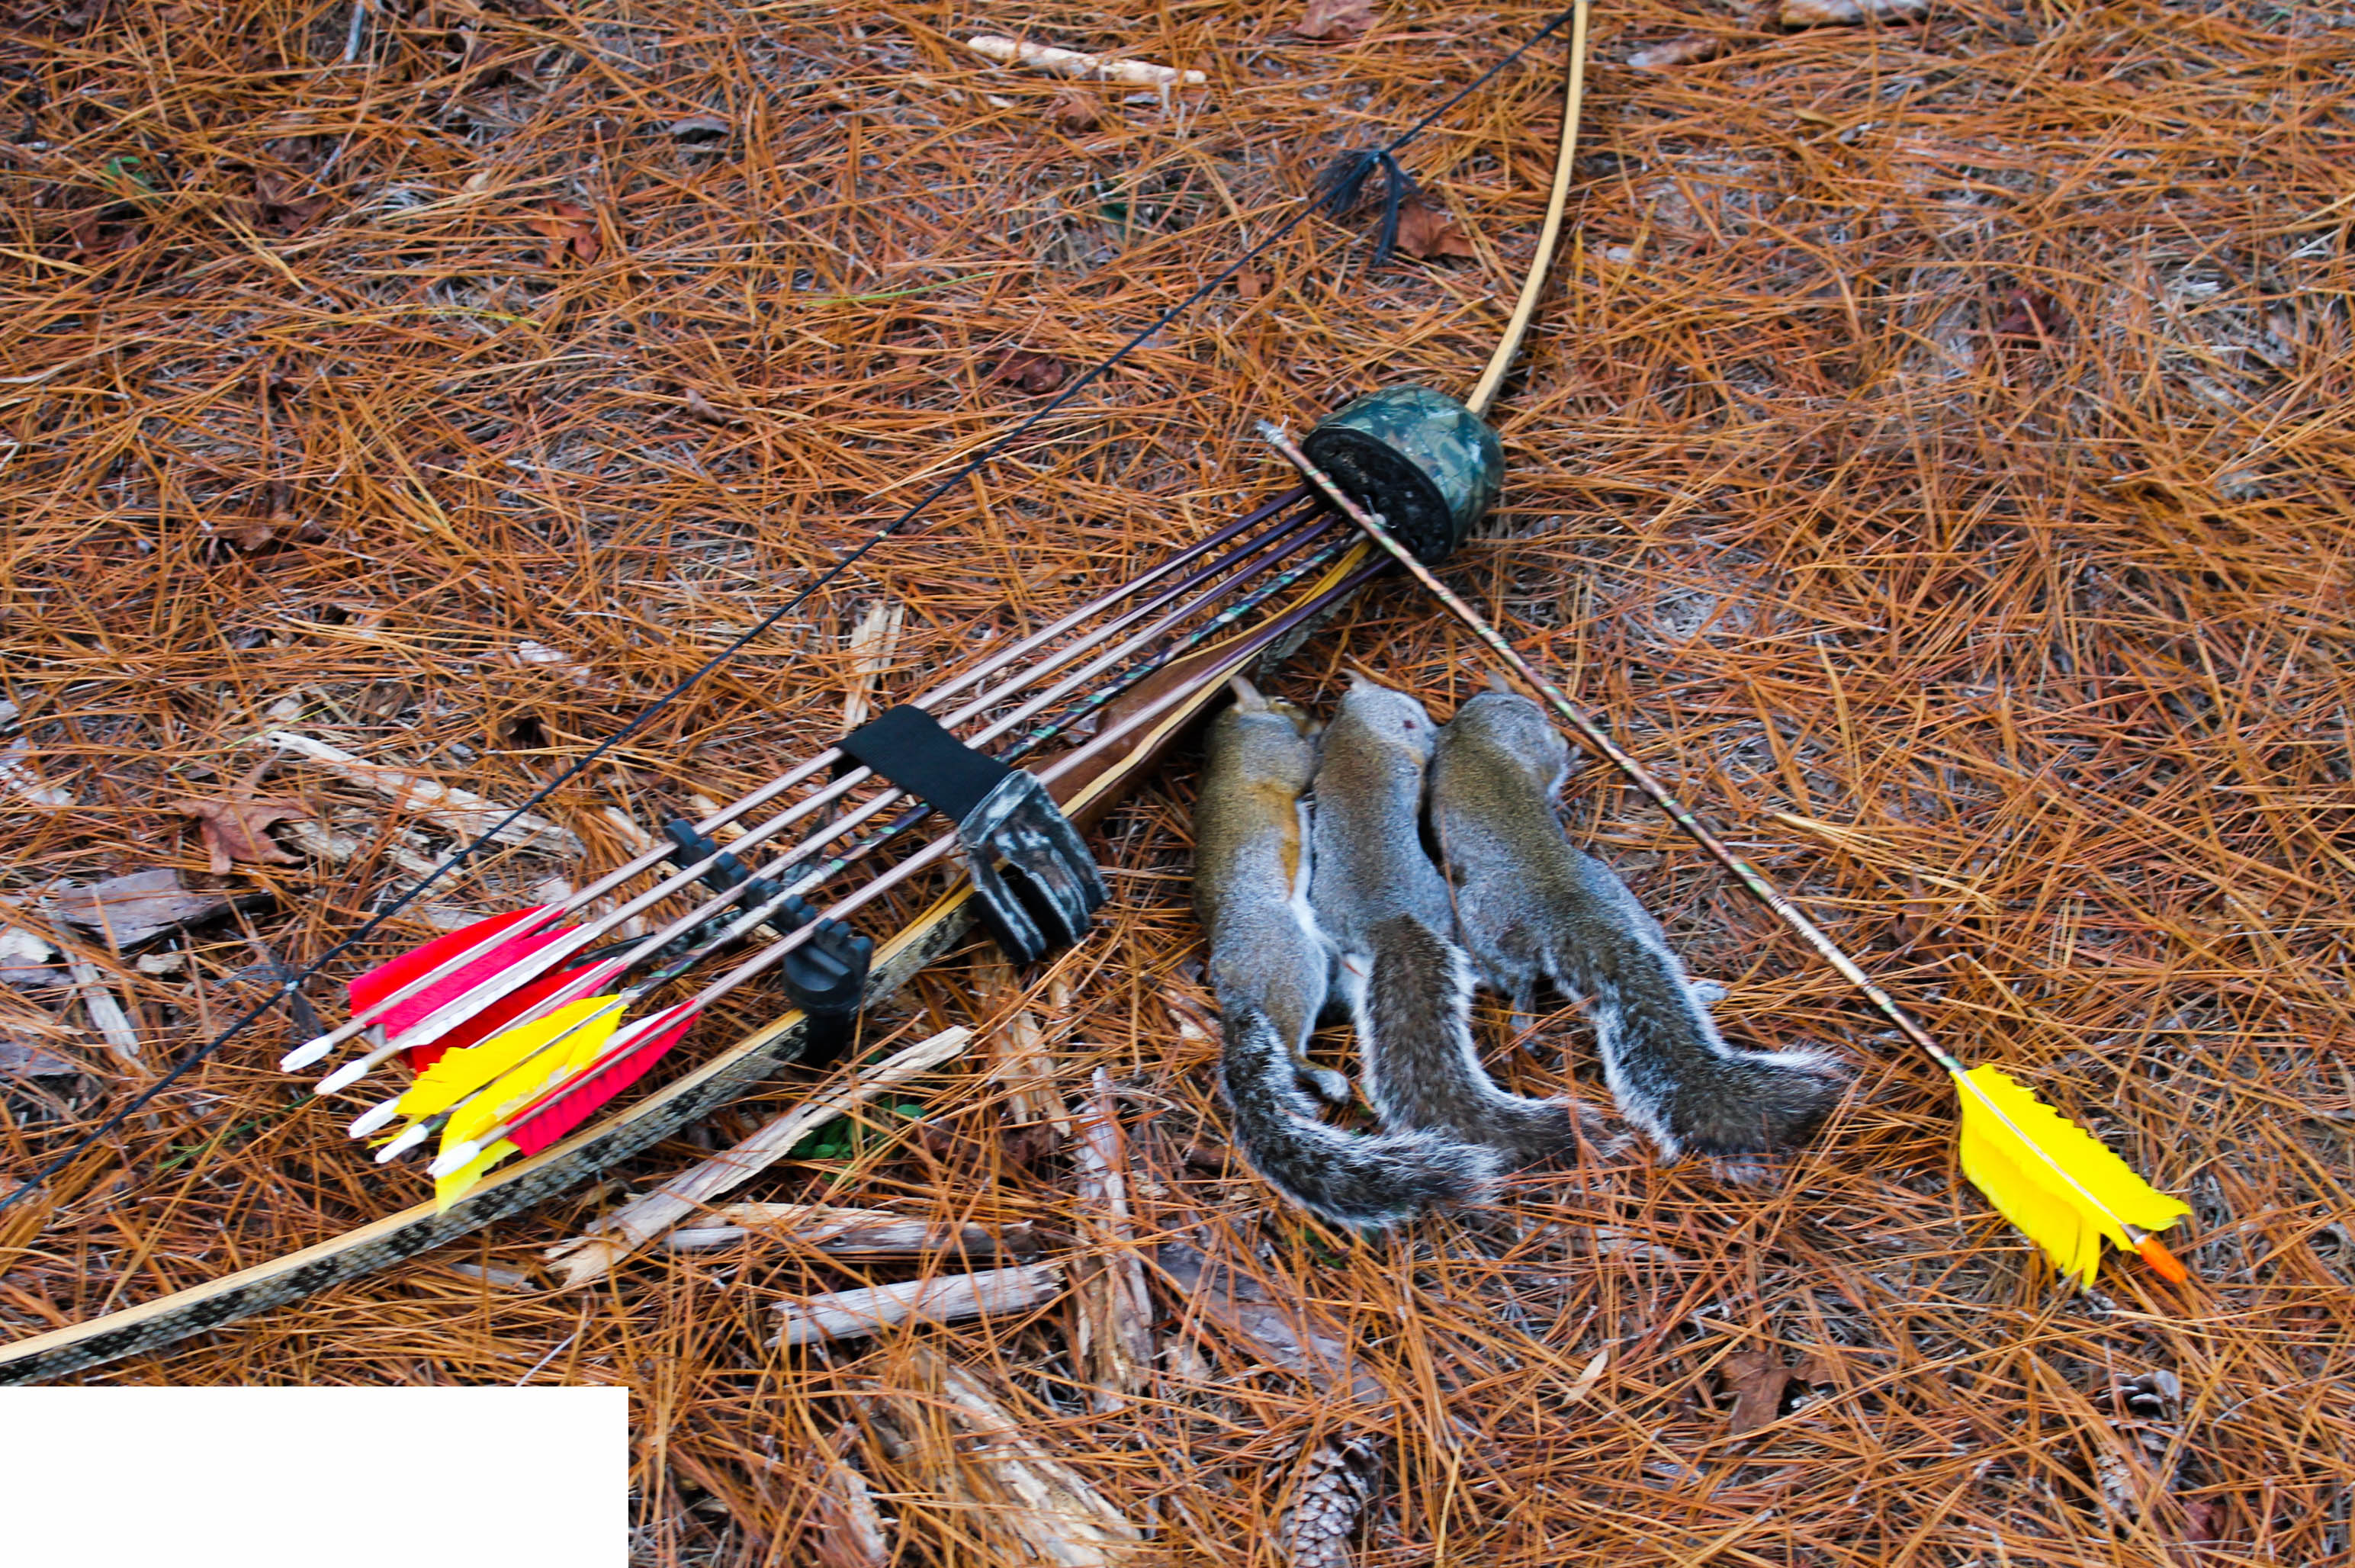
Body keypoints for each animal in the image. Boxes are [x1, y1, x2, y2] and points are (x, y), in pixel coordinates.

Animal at [1192, 678, 1498, 1229]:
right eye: (1283, 703)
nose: (1316, 714)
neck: (1234, 733)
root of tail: (1232, 986)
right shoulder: (1276, 755)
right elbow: (1301, 766)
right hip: (1296, 964)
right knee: (1291, 1050)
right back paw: (1330, 1080)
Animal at [1428, 683, 1848, 1158]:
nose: (1544, 717)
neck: (1478, 736)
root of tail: (1562, 901)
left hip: (1484, 920)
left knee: (1515, 986)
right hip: (1624, 914)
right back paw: (1700, 993)